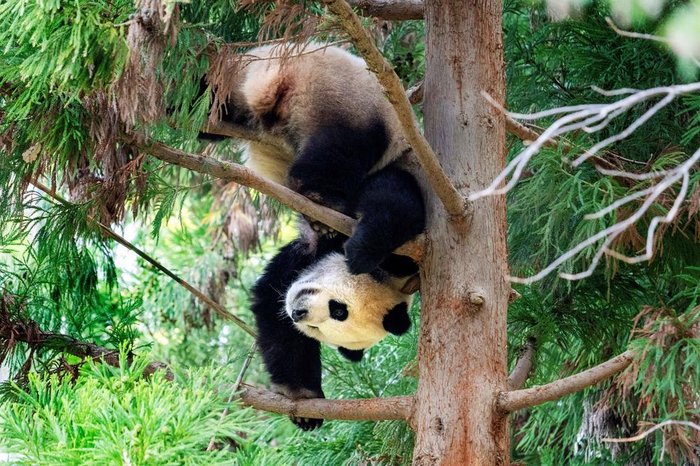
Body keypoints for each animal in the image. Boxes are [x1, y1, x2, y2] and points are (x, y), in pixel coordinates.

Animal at [205, 42, 425, 275]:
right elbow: (395, 205)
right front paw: (360, 255)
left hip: (240, 80)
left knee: (215, 96)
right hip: (350, 107)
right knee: (341, 151)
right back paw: (321, 197)